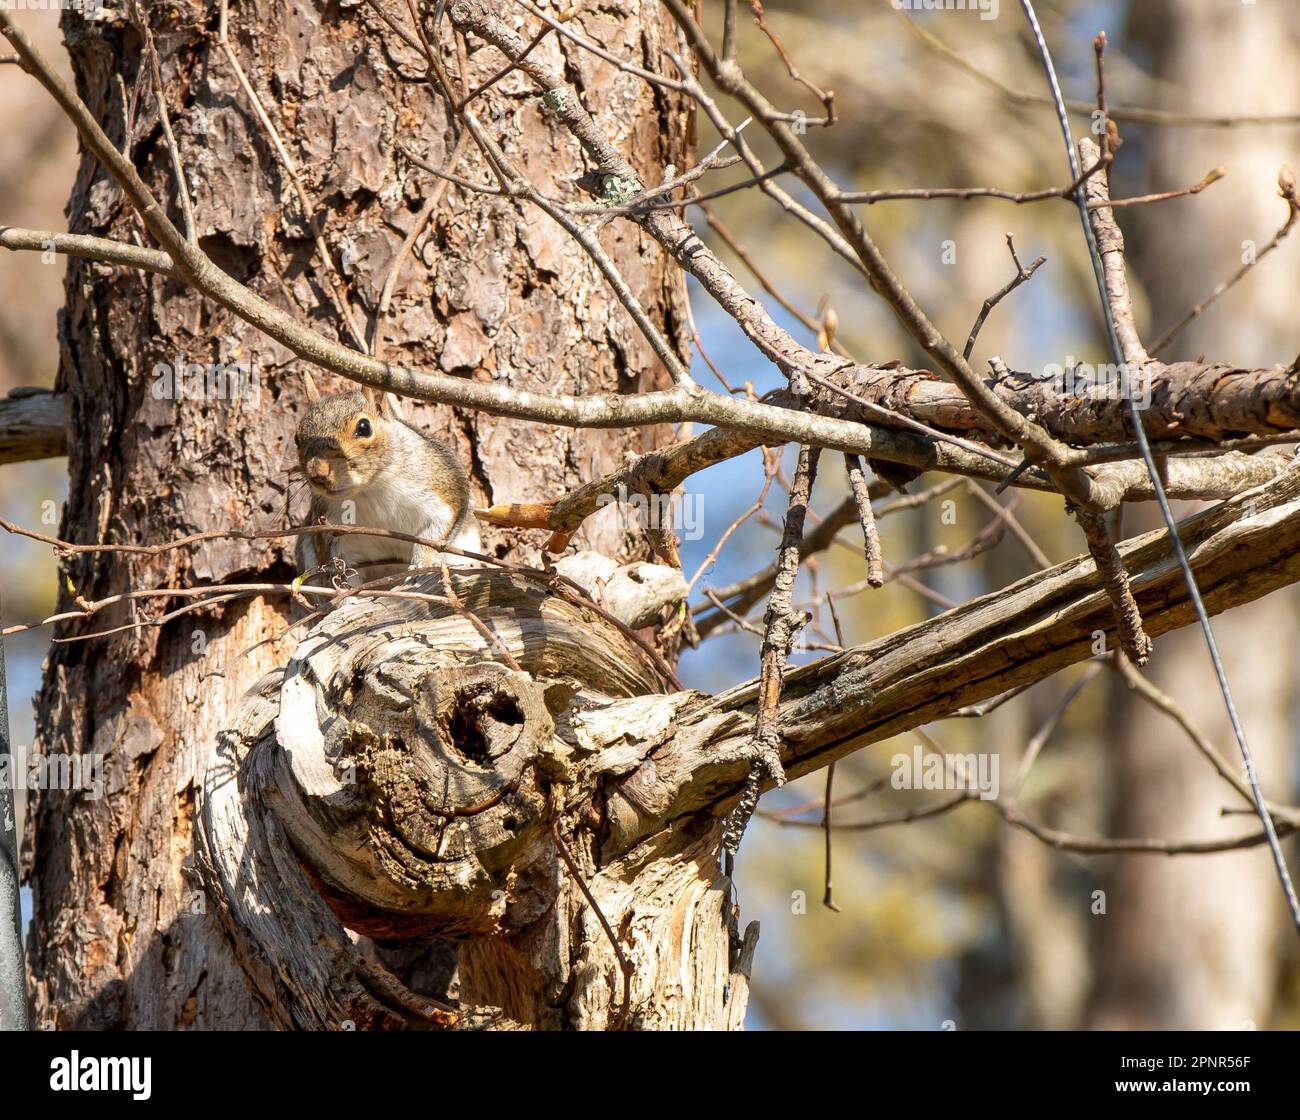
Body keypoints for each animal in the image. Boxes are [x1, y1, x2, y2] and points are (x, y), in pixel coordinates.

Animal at [294, 371, 482, 582]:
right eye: (296, 438)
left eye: (364, 427)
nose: (318, 473)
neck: (369, 490)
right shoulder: (331, 534)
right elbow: (344, 571)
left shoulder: (444, 490)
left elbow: (435, 532)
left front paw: (422, 562)